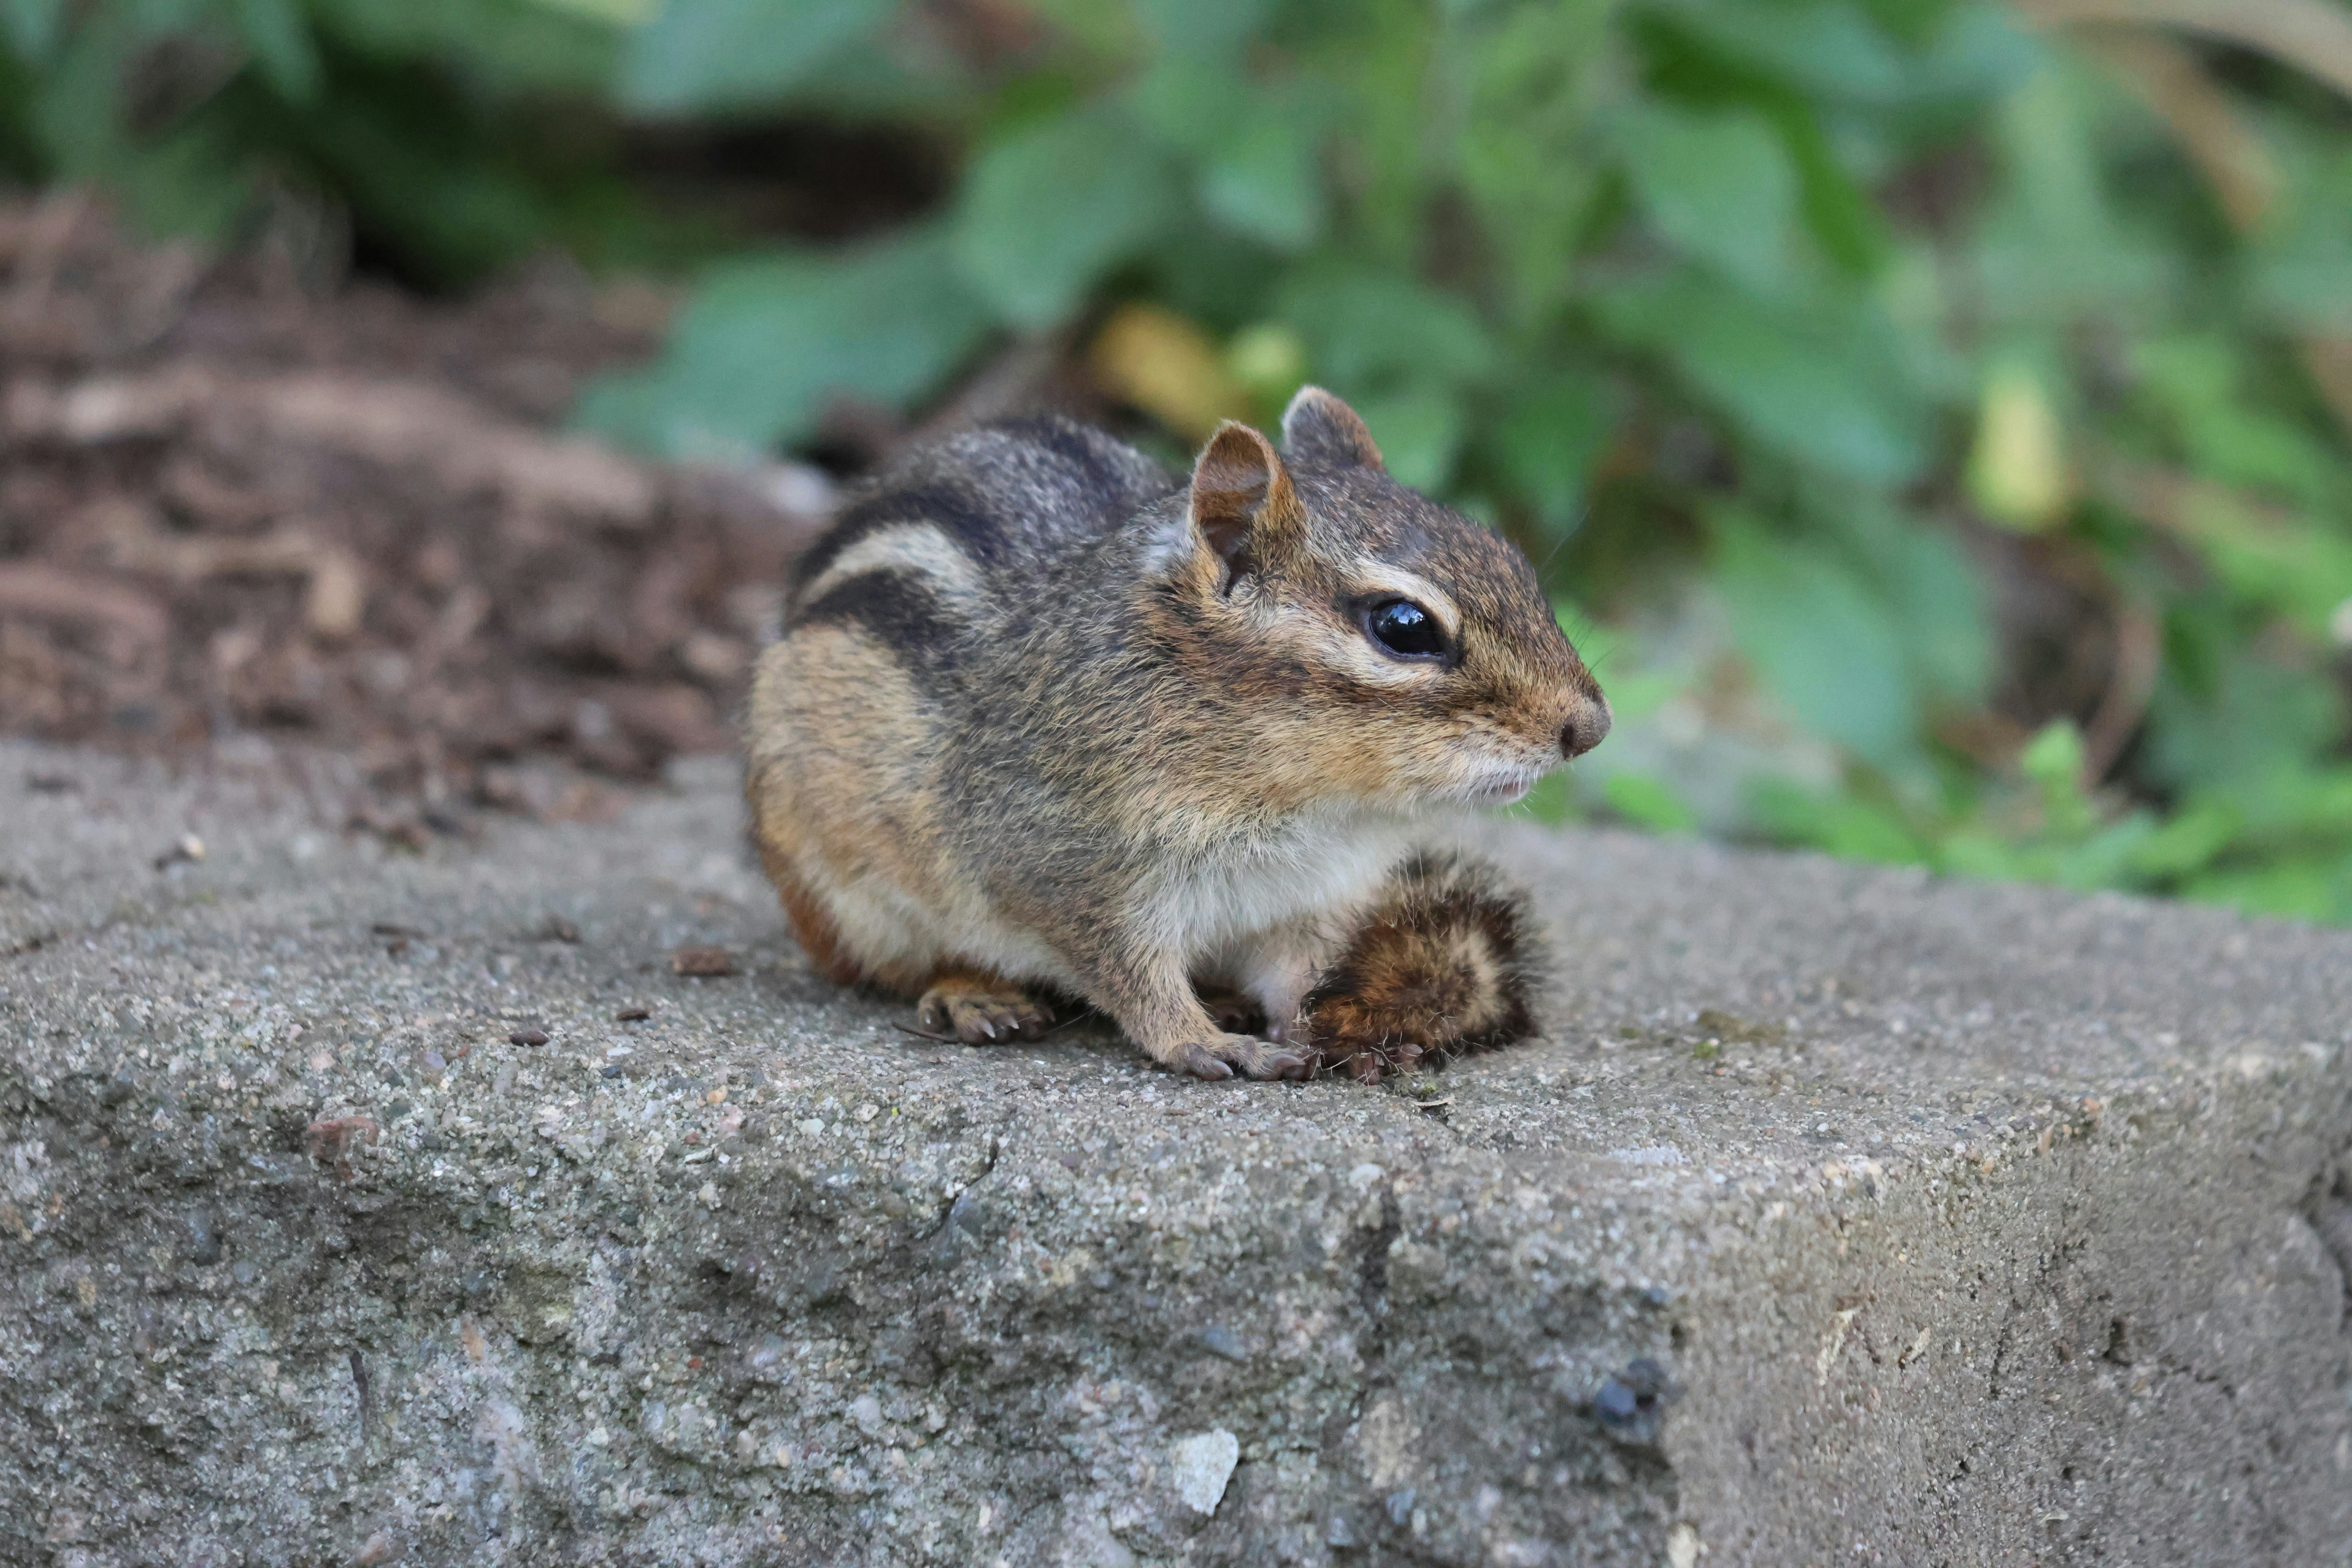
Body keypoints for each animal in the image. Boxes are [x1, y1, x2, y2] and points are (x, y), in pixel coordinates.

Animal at [742, 386, 1607, 1081]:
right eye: (1404, 626)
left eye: (1510, 558)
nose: (1591, 726)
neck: (1316, 804)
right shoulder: (1066, 868)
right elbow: (1131, 976)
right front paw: (1199, 1040)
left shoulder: (1312, 903)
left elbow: (1297, 981)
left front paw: (1336, 1029)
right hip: (841, 891)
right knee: (902, 964)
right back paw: (974, 993)